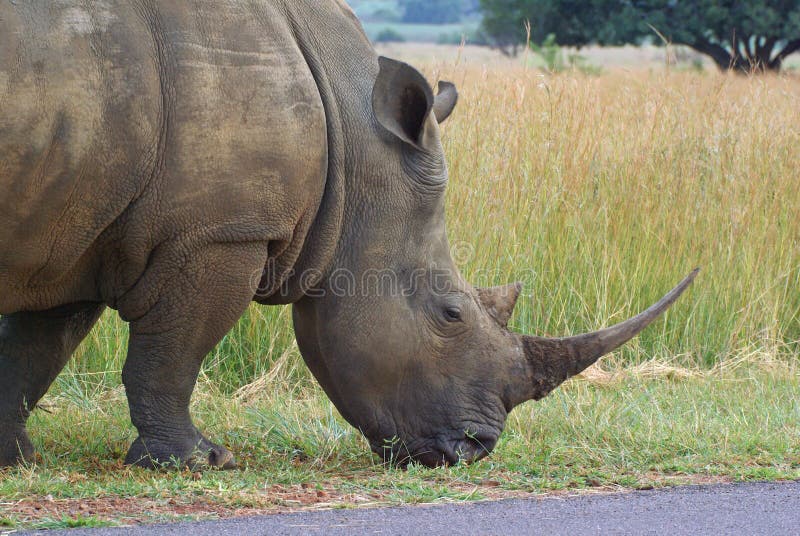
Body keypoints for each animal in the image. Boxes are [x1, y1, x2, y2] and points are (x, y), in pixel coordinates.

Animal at [0, 0, 696, 469]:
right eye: (450, 314)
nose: (475, 450)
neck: (355, 139)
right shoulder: (221, 233)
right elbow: (175, 352)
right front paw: (198, 463)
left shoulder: (80, 224)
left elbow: (37, 347)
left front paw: (15, 460)